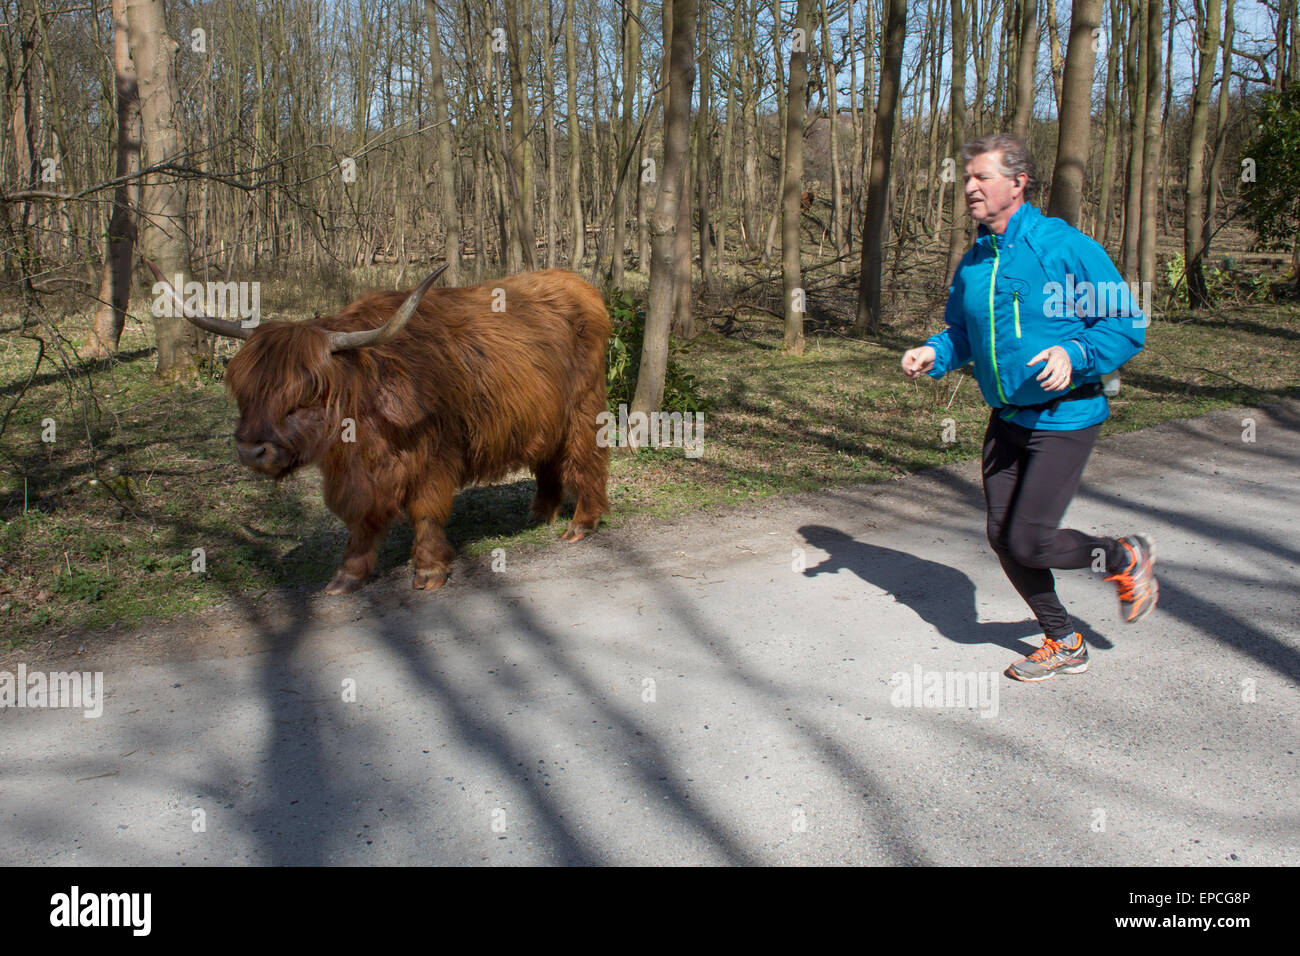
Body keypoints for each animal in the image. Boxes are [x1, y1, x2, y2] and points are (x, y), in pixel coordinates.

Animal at [149, 262, 611, 594]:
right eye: (243, 390)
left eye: (306, 393)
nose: (250, 451)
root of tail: (577, 284)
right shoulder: (351, 473)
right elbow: (358, 520)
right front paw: (347, 577)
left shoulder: (433, 458)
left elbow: (426, 513)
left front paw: (429, 571)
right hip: (545, 416)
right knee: (548, 462)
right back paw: (539, 515)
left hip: (583, 410)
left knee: (584, 458)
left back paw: (580, 524)